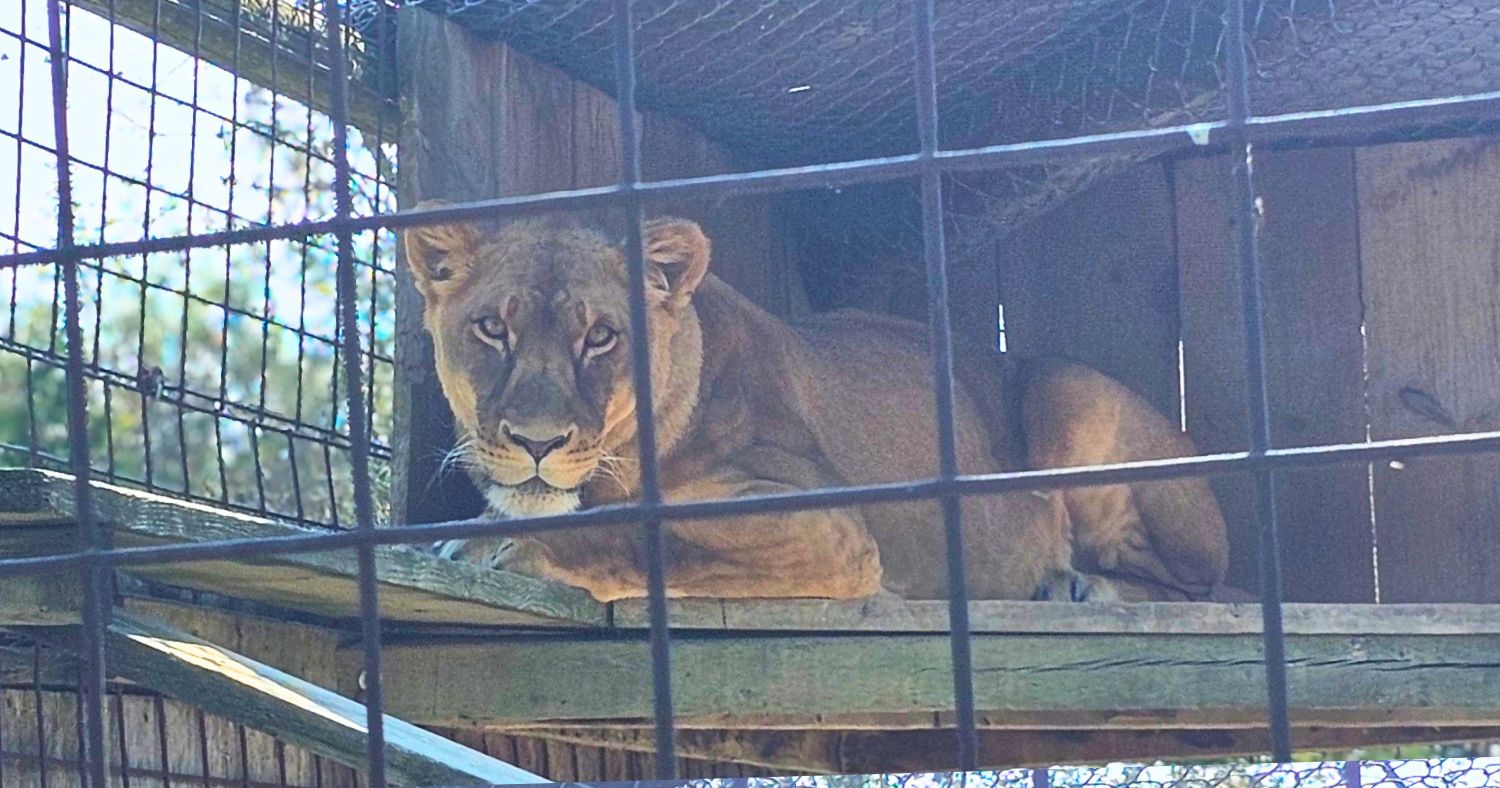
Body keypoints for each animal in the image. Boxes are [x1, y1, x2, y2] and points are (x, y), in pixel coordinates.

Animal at [400, 206, 1231, 603]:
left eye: (600, 336)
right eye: (492, 327)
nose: (536, 440)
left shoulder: (828, 524)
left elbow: (649, 539)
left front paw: (509, 549)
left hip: (1070, 392)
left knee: (1201, 585)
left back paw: (1079, 584)